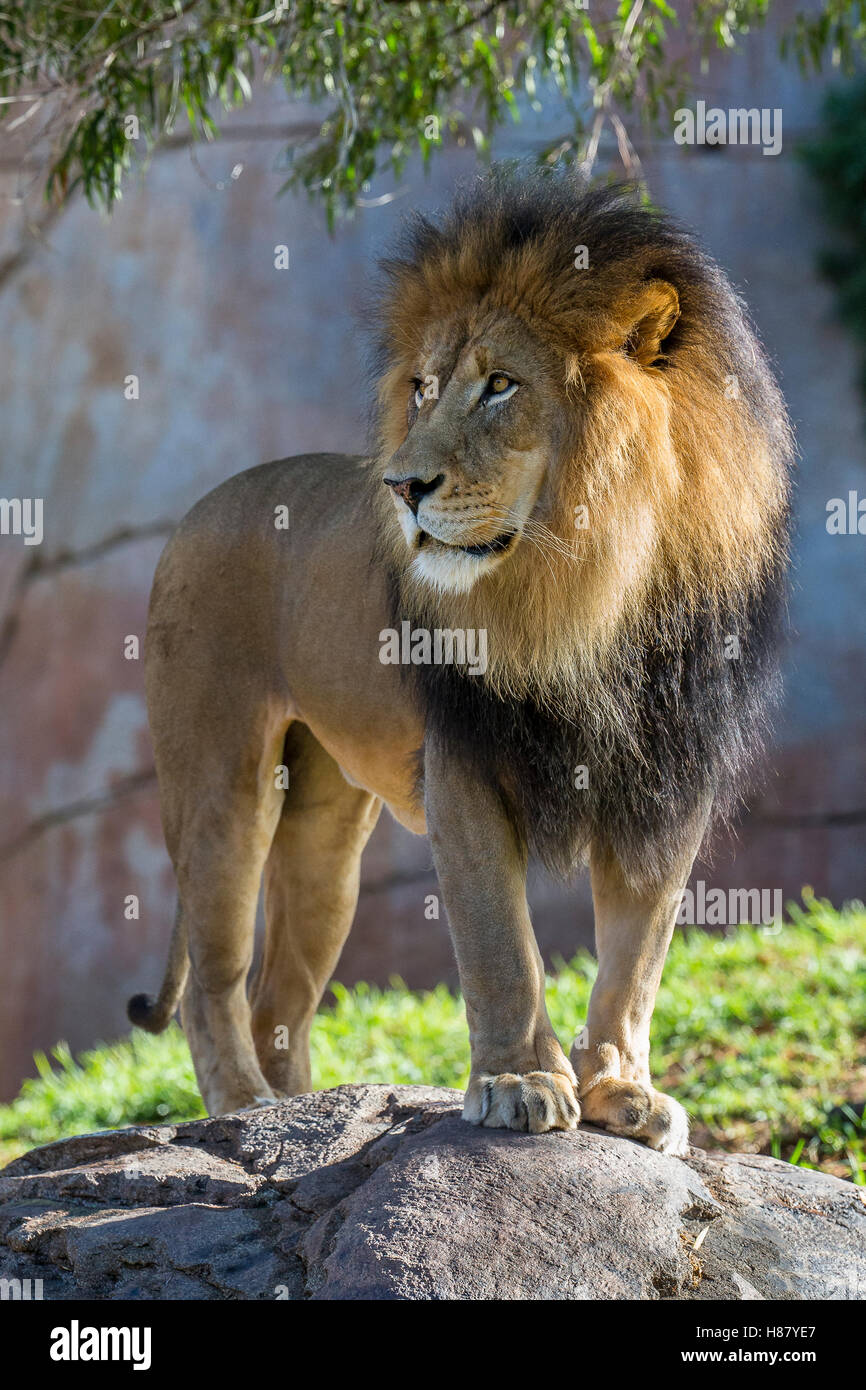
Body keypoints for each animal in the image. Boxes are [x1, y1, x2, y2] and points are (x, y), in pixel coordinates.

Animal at [129, 171, 792, 1152]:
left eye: (501, 386)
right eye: (422, 388)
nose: (402, 486)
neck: (590, 586)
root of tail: (199, 509)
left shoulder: (669, 778)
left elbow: (635, 960)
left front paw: (622, 1092)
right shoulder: (465, 762)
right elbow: (497, 942)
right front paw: (519, 1082)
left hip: (325, 832)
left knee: (277, 999)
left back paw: (300, 1116)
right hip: (222, 781)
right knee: (214, 985)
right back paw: (246, 1111)